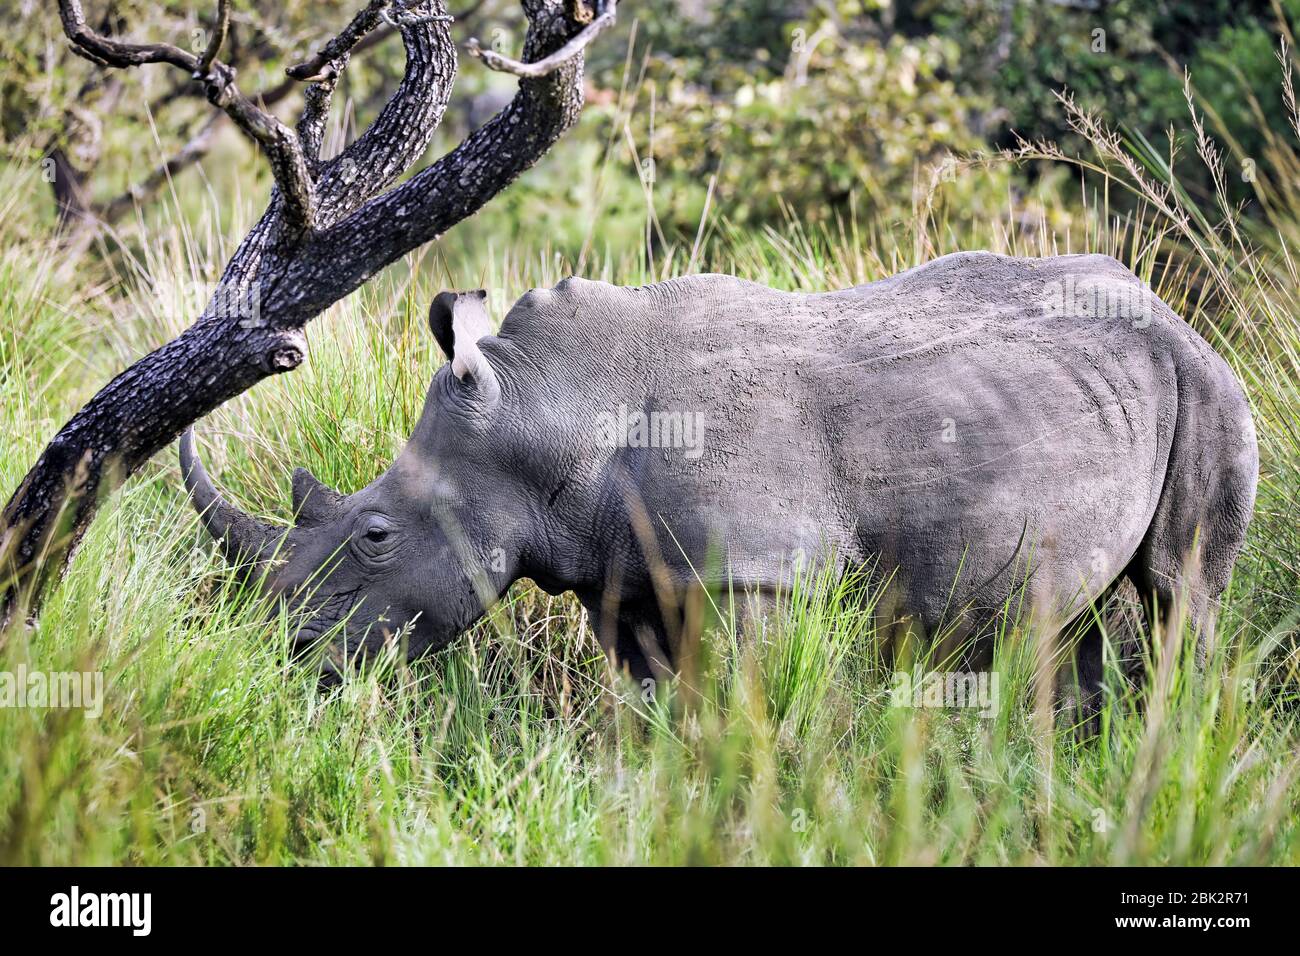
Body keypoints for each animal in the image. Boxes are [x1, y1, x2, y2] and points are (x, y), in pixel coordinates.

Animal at [180, 252, 1258, 707]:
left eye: (374, 535)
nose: (293, 654)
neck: (545, 410)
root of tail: (1168, 305)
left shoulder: (753, 575)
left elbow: (744, 702)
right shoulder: (619, 573)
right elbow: (662, 710)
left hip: (1205, 381)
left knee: (1179, 592)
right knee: (1066, 611)